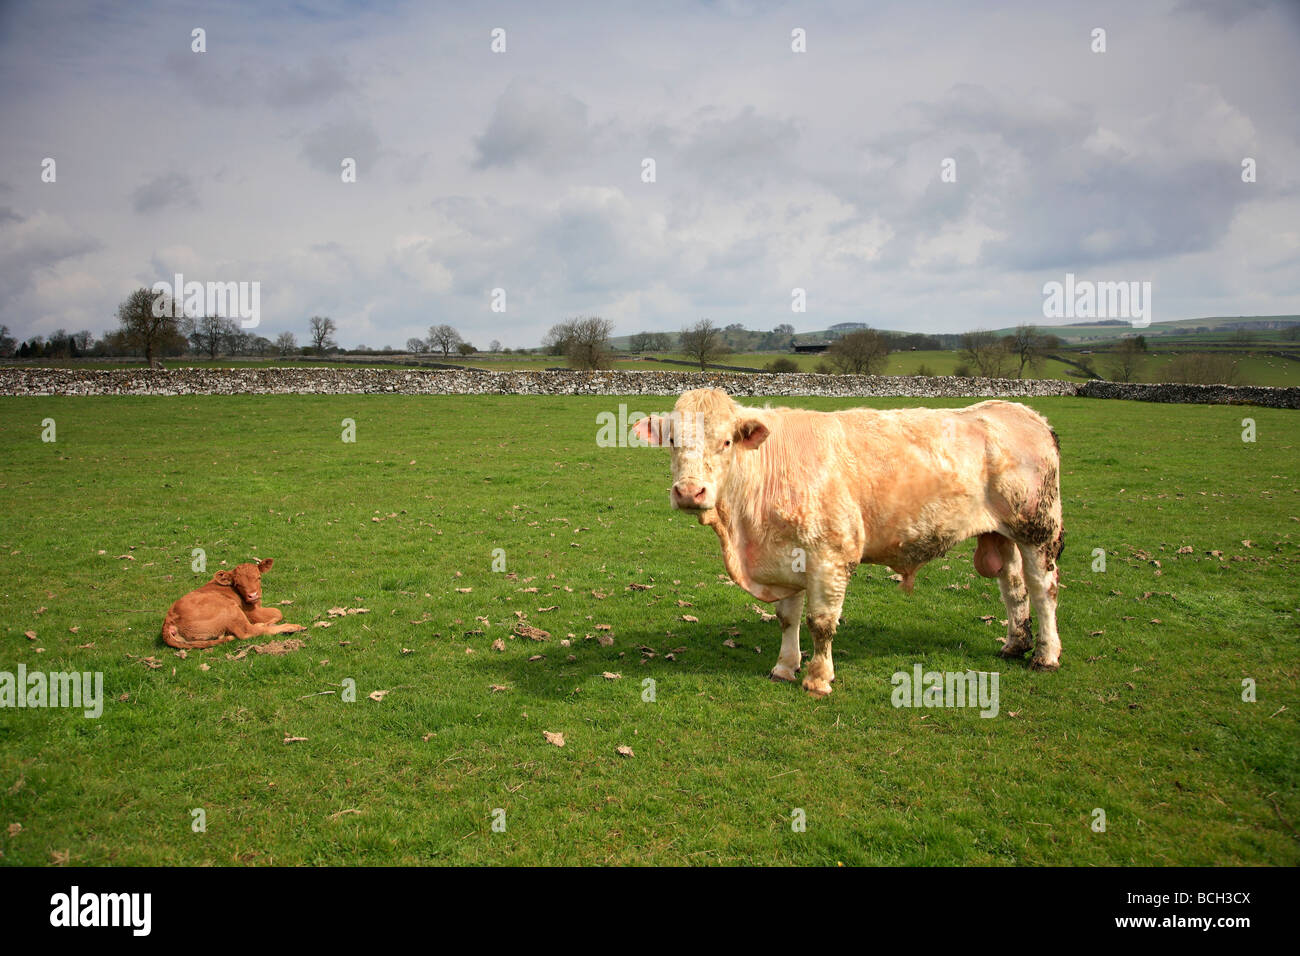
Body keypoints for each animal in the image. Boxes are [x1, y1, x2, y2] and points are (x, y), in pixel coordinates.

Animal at [633, 388, 1064, 697]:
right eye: (671, 440)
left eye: (725, 442)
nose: (690, 492)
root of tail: (1026, 414)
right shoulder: (789, 556)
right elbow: (787, 618)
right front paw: (784, 667)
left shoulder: (830, 555)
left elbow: (821, 623)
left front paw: (818, 678)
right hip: (1002, 534)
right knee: (1013, 588)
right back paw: (1014, 644)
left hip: (1037, 529)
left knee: (1043, 590)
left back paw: (1046, 655)